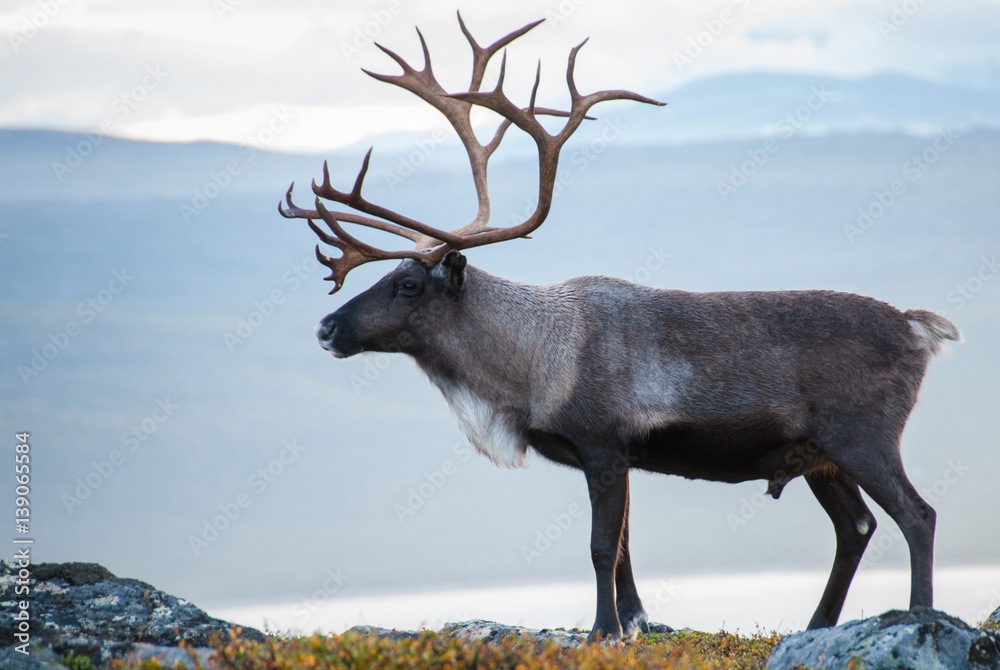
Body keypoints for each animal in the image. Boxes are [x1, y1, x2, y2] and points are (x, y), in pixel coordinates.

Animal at [279, 13, 961, 640]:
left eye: (409, 285)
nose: (326, 327)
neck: (531, 368)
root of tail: (918, 329)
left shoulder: (604, 444)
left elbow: (601, 547)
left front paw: (603, 630)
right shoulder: (616, 456)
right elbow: (628, 548)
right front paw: (635, 621)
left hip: (863, 435)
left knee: (917, 515)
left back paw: (921, 614)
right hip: (821, 454)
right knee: (857, 527)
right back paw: (818, 625)